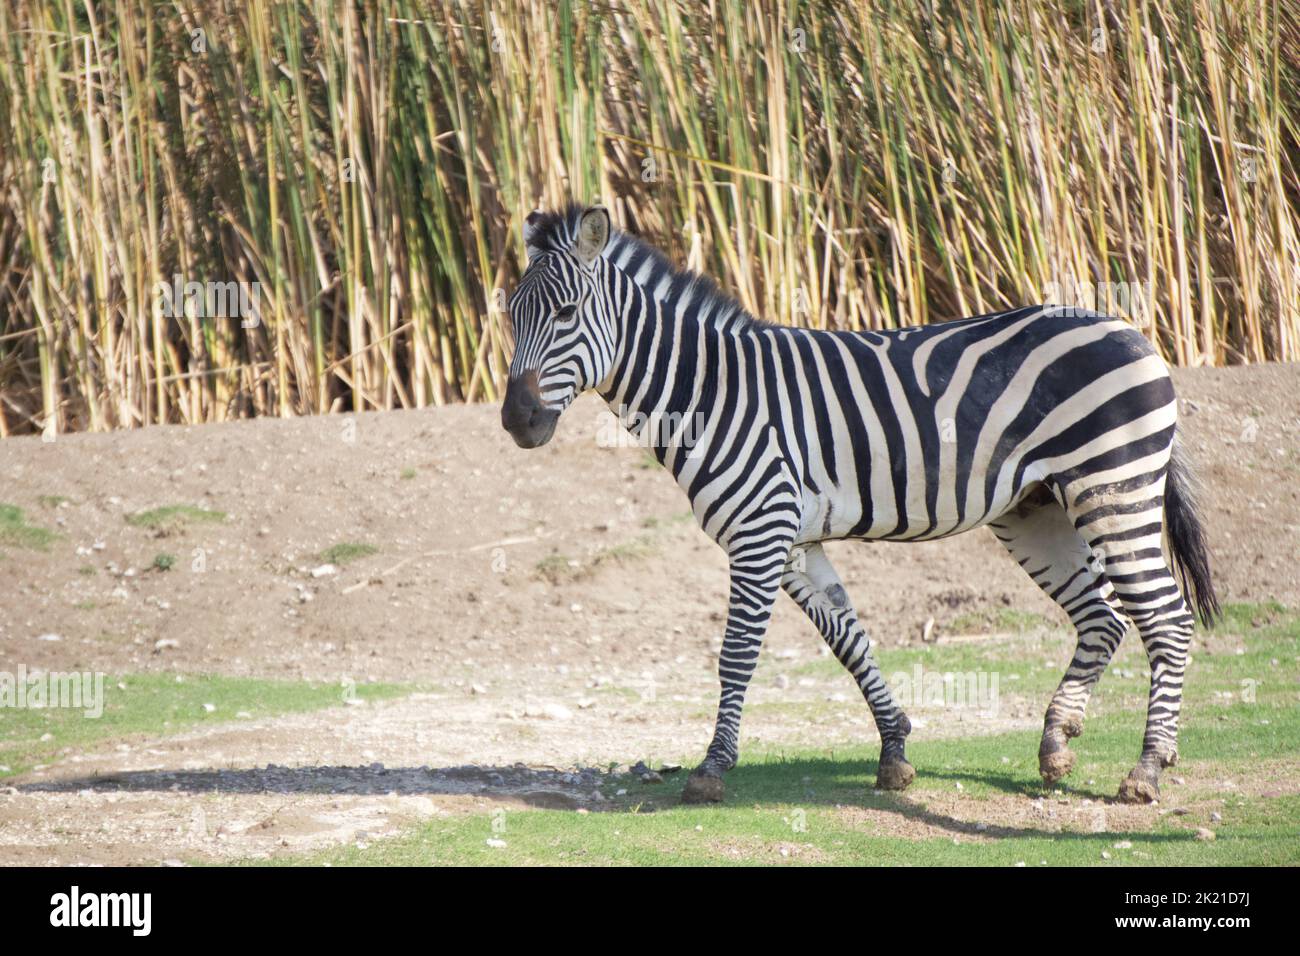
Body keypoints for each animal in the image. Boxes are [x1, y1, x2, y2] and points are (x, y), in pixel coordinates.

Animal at [501, 204, 1218, 805]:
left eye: (566, 313)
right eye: (510, 316)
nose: (517, 421)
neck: (711, 391)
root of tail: (1131, 330)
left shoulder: (759, 531)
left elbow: (737, 653)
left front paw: (711, 768)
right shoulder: (792, 539)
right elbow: (849, 640)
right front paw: (895, 749)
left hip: (1112, 488)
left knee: (1166, 618)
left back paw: (1147, 768)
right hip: (1035, 509)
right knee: (1103, 617)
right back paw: (1056, 742)